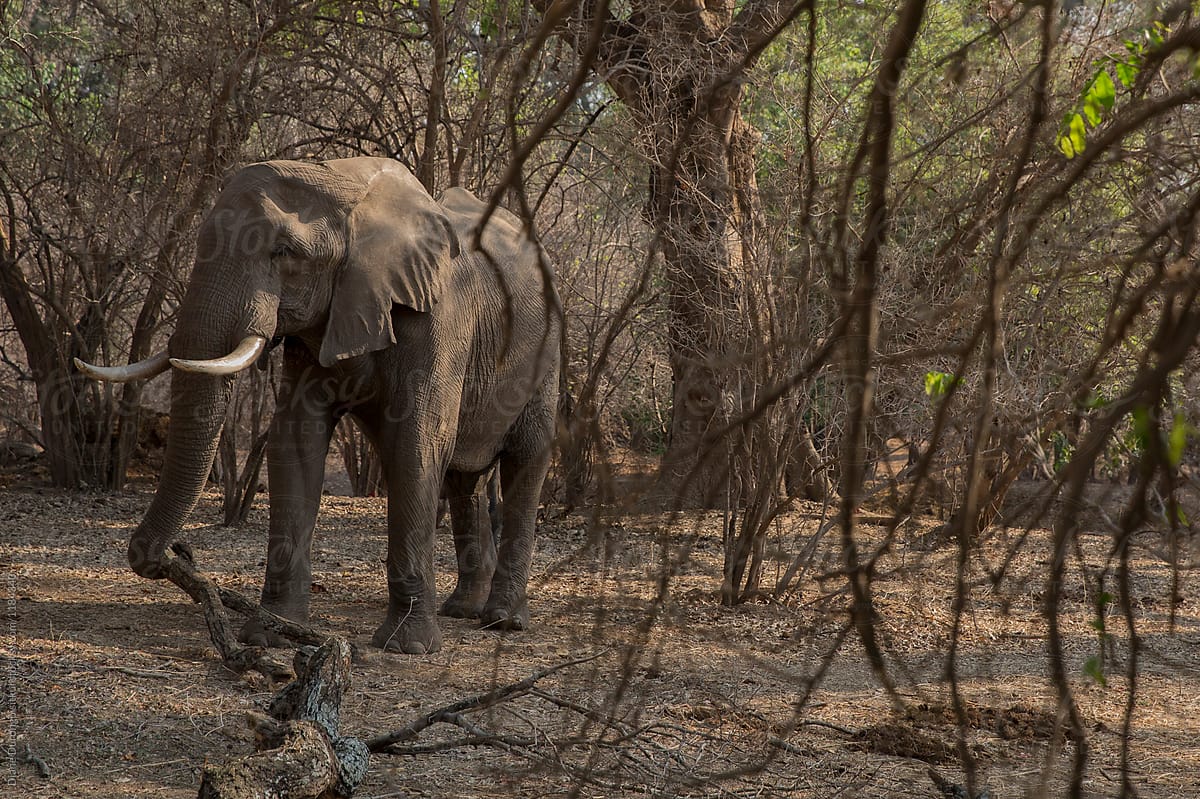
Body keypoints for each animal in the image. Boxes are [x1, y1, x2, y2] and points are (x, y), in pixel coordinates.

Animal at [77, 157, 560, 654]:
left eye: (284, 252)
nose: (166, 557)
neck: (348, 186)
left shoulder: (436, 320)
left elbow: (416, 444)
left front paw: (406, 648)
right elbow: (295, 441)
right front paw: (271, 634)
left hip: (546, 351)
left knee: (525, 461)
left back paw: (503, 621)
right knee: (464, 479)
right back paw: (462, 611)